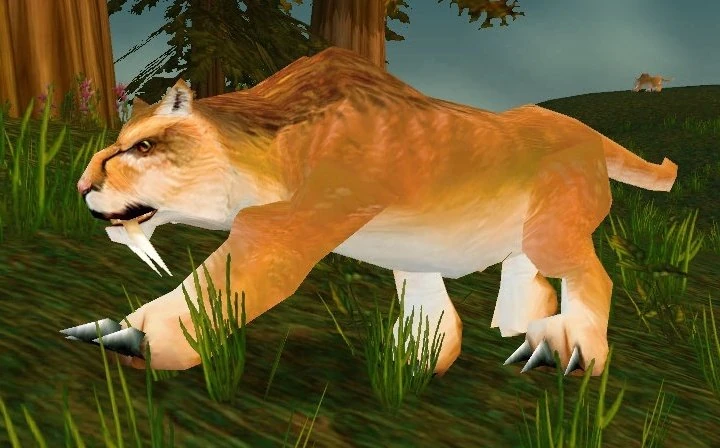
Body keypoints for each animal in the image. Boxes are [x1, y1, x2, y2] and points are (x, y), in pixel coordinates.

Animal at [67, 47, 677, 378]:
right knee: (536, 277)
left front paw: (134, 337)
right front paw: (412, 361)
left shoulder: (282, 225)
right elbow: (437, 317)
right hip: (525, 236)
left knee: (591, 276)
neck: (263, 145)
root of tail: (588, 133)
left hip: (553, 232)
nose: (81, 185)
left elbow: (219, 285)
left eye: (141, 147)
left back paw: (562, 347)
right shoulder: (411, 252)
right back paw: (519, 325)